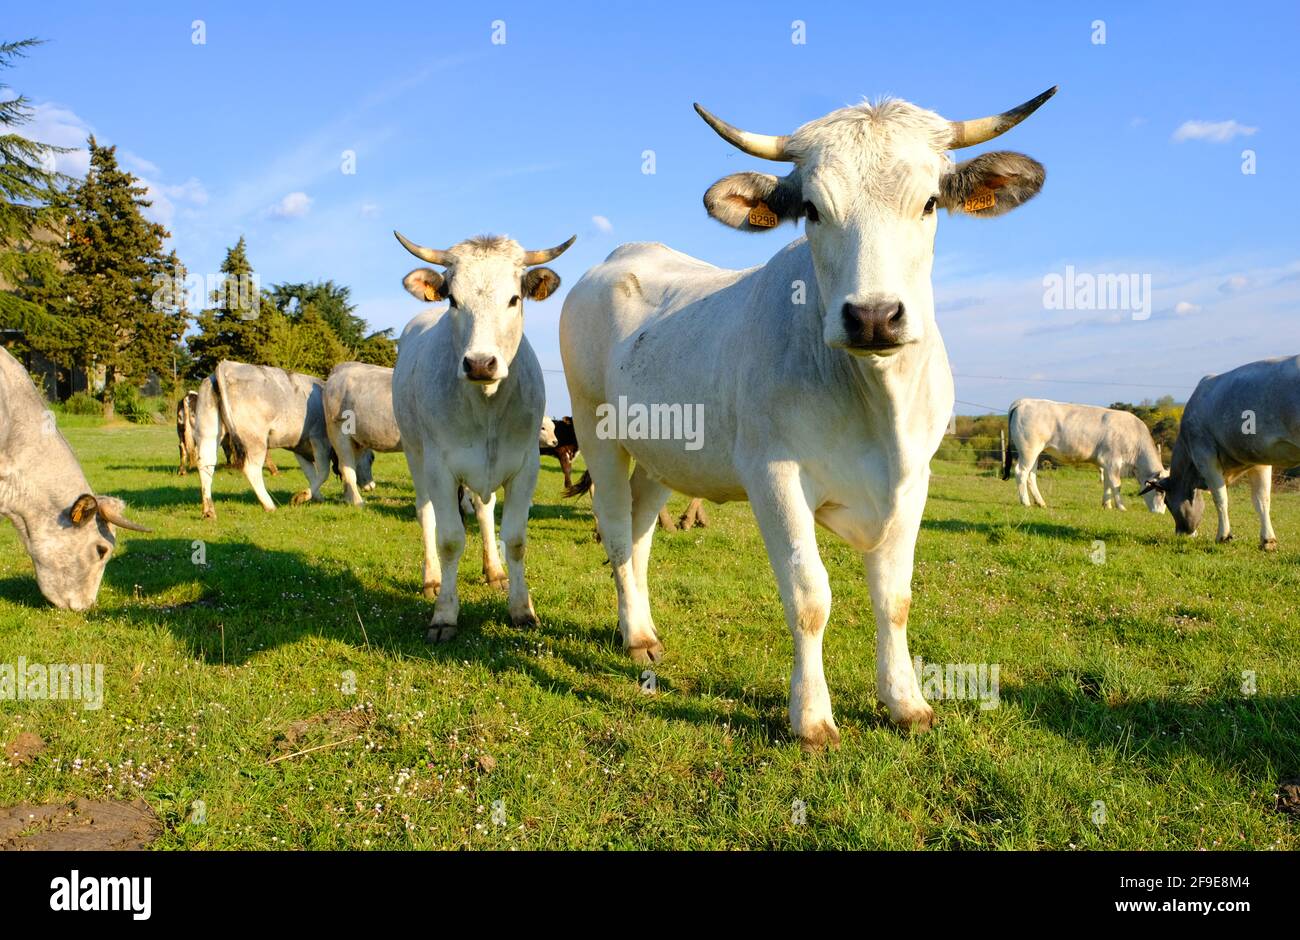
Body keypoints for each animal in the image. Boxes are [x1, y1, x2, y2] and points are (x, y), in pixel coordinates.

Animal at [194, 360, 333, 519]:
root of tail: (227, 366)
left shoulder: (300, 447)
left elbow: (311, 474)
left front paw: (315, 497)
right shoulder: (319, 439)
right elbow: (323, 472)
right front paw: (303, 496)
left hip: (208, 431)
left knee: (206, 463)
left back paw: (209, 511)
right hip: (255, 439)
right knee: (251, 468)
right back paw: (269, 505)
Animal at [392, 230, 575, 641]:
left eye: (514, 299)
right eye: (453, 300)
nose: (479, 363)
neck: (487, 405)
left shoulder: (525, 466)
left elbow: (516, 539)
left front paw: (522, 609)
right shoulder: (440, 468)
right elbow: (449, 540)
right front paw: (444, 614)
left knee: (484, 510)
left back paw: (494, 570)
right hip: (415, 453)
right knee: (425, 512)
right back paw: (431, 579)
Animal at [559, 88, 1055, 747]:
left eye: (930, 203)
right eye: (814, 210)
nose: (873, 316)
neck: (875, 405)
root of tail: (621, 256)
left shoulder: (914, 480)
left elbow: (894, 596)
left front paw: (906, 702)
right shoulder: (775, 477)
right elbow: (809, 595)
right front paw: (813, 717)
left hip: (664, 455)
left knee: (640, 530)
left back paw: (640, 630)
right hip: (596, 429)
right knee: (616, 528)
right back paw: (634, 634)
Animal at [1003, 398, 1166, 512]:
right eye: (1159, 491)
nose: (1160, 512)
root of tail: (1024, 401)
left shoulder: (1107, 465)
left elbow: (1107, 484)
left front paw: (1107, 505)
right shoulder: (1113, 462)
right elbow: (1116, 485)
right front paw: (1121, 507)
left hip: (1035, 452)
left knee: (1031, 475)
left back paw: (1040, 502)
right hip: (1028, 450)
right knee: (1021, 472)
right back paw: (1026, 502)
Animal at [1140, 355, 1300, 549]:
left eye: (1166, 501)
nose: (1181, 533)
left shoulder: (1205, 455)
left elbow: (1220, 497)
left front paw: (1223, 536)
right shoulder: (1258, 459)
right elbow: (1262, 500)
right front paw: (1267, 540)